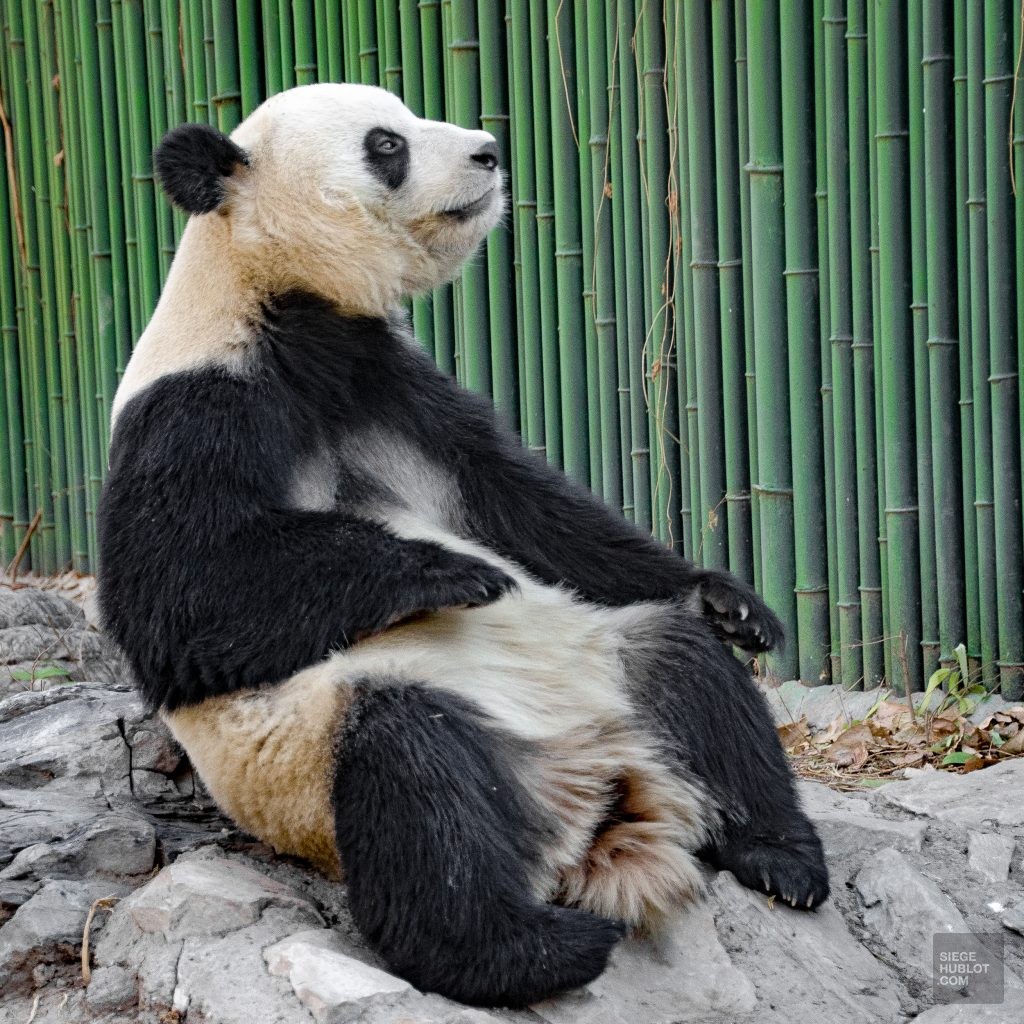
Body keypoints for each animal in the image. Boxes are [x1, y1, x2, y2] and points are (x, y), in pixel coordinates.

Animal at [97, 83, 828, 1008]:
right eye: (386, 144)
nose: (488, 151)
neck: (287, 299)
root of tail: (592, 796)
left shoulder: (392, 384)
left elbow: (521, 503)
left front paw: (732, 599)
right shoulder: (196, 407)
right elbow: (174, 600)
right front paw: (450, 572)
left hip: (607, 664)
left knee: (692, 671)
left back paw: (780, 855)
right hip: (321, 750)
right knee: (417, 781)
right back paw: (534, 948)